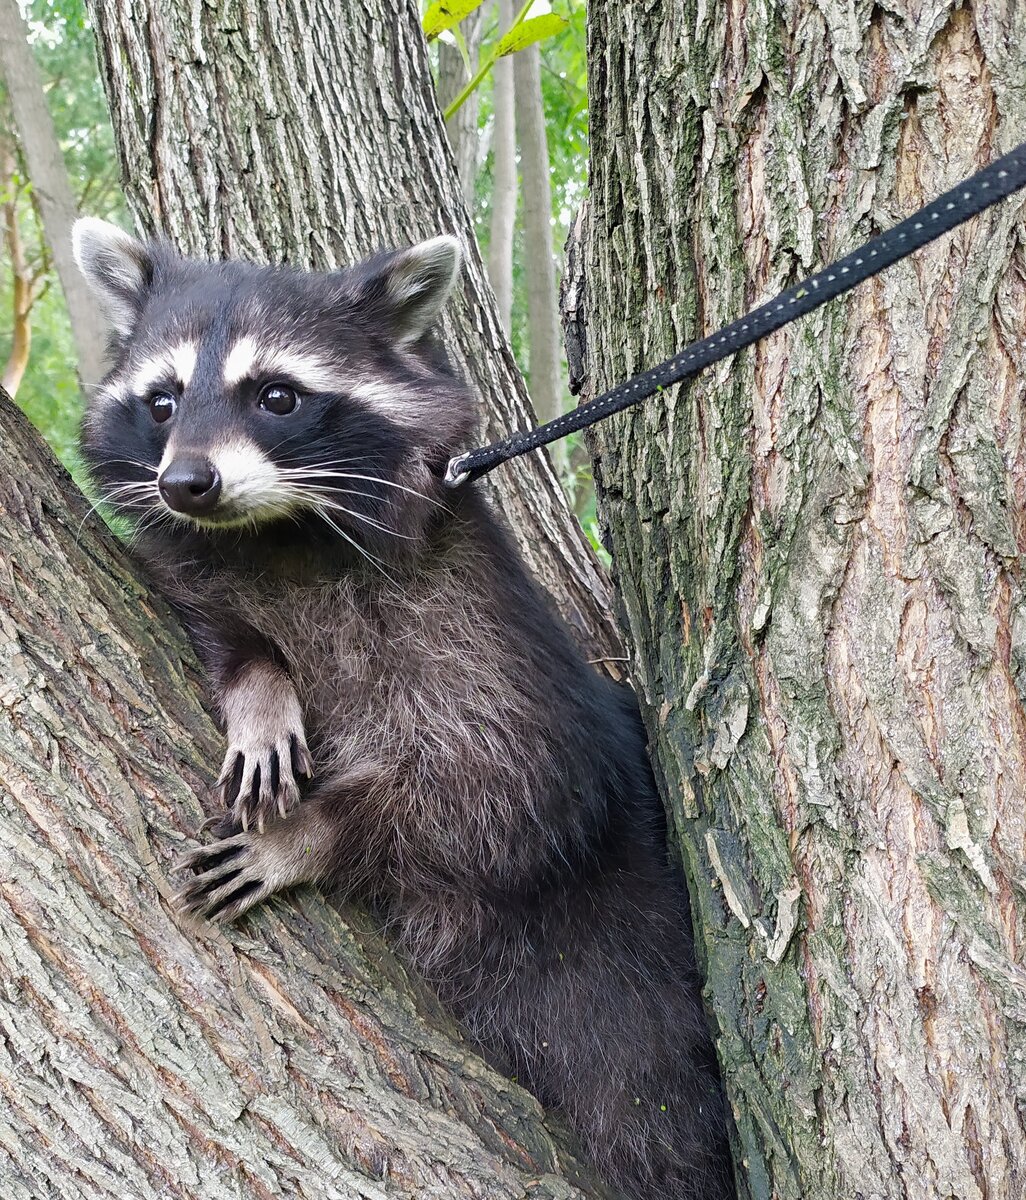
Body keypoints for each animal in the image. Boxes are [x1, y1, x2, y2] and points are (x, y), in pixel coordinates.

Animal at [76, 218, 734, 1200]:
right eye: (162, 402)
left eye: (276, 395)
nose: (186, 482)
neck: (279, 530)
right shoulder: (191, 558)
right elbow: (199, 602)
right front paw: (261, 686)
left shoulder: (475, 639)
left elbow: (503, 794)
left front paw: (314, 833)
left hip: (610, 969)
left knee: (645, 1100)